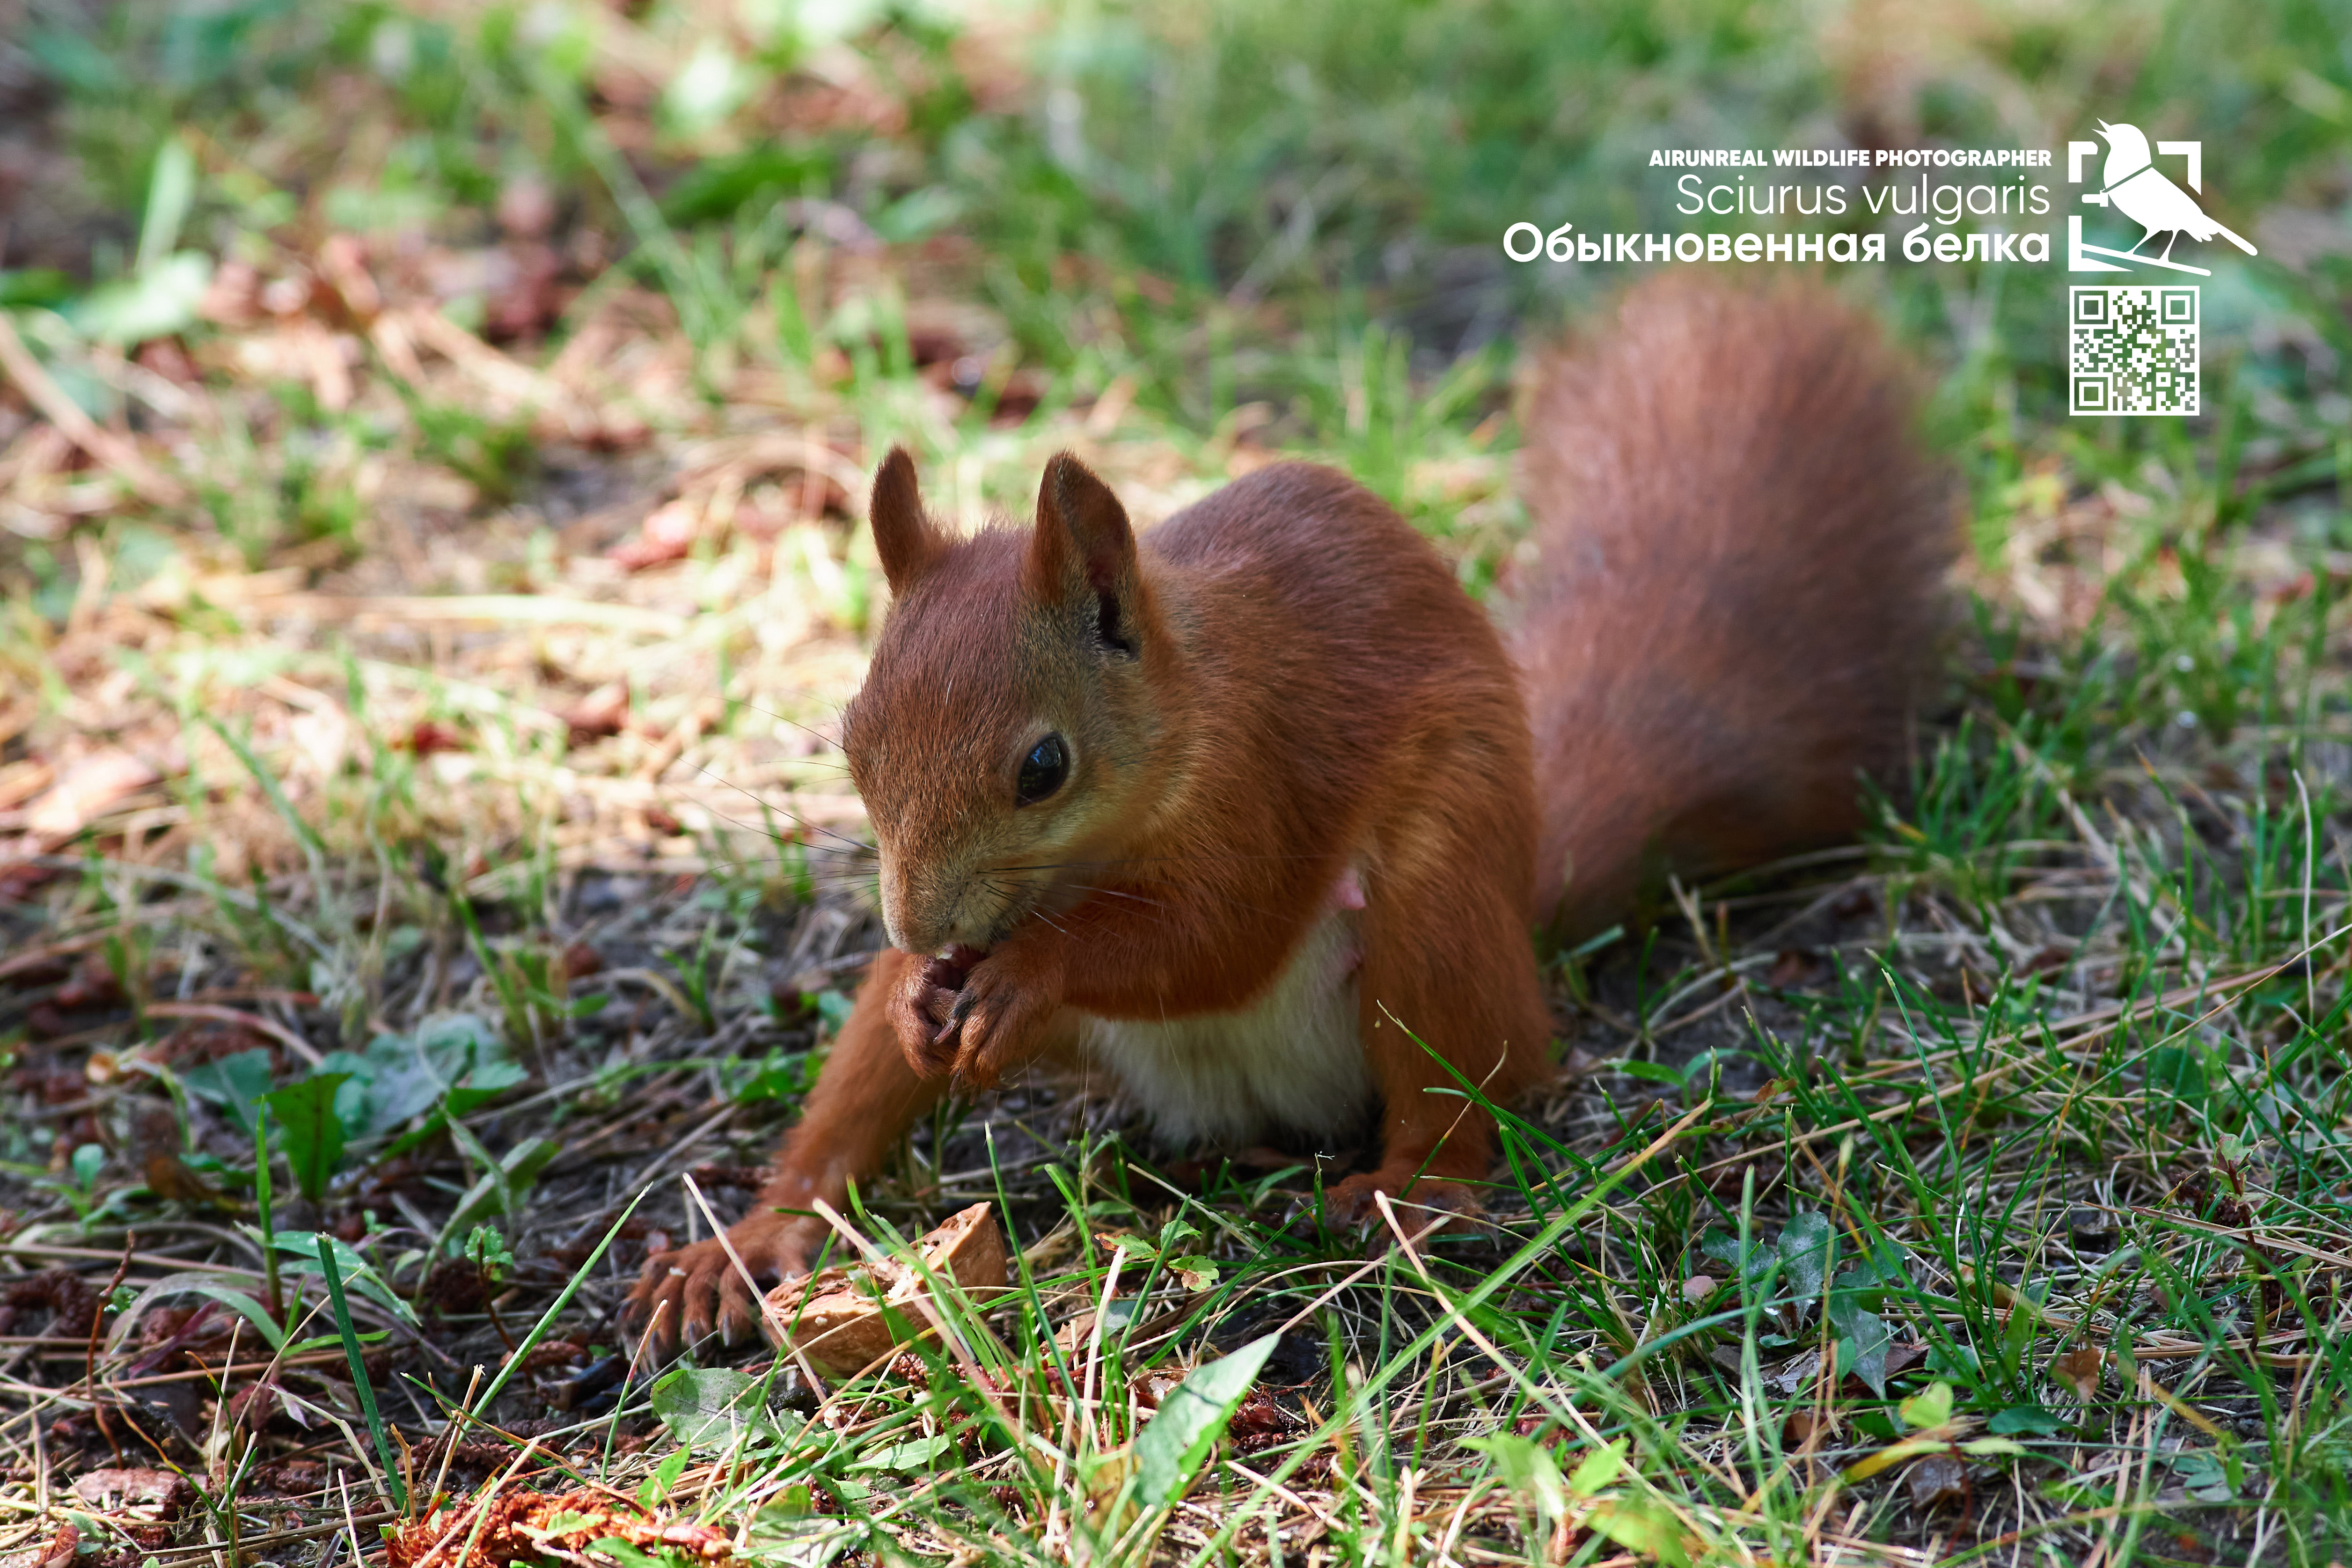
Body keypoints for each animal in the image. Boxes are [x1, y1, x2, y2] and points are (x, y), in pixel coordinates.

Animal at [625, 272, 1947, 1354]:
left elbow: (1221, 932)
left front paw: (1030, 974)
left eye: (1042, 766)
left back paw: (1413, 1185)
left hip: (1436, 901)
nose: (916, 930)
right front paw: (916, 991)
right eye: (850, 740)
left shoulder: (1262, 776)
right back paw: (748, 1241)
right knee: (860, 1089)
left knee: (1468, 1073)